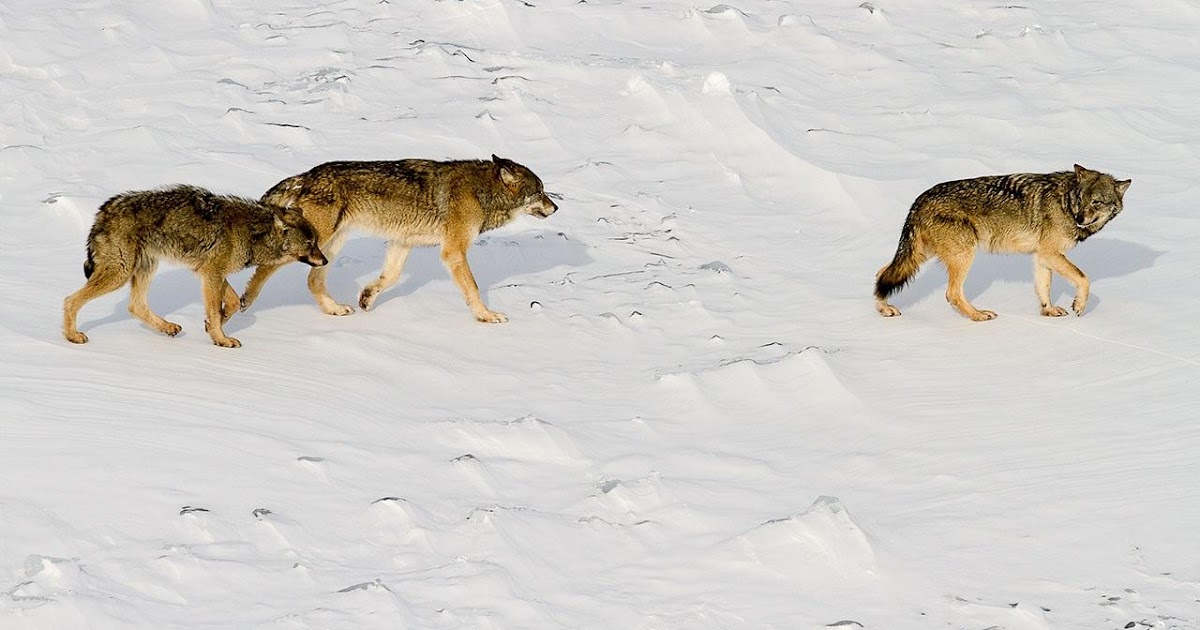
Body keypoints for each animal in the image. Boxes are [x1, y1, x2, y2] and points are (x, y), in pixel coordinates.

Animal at [62, 185, 328, 348]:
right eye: (310, 243)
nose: (325, 261)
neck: (253, 234)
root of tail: (103, 211)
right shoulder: (212, 274)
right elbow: (217, 309)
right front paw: (222, 339)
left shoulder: (211, 273)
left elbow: (231, 303)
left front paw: (213, 326)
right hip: (120, 273)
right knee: (70, 299)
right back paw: (72, 336)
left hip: (146, 269)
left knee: (135, 306)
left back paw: (168, 327)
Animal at [238, 155, 558, 323]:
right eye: (540, 191)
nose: (556, 208)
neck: (481, 192)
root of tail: (307, 175)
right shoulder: (453, 252)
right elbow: (474, 289)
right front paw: (486, 316)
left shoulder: (402, 243)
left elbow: (388, 278)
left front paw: (367, 298)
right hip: (315, 242)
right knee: (268, 266)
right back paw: (246, 299)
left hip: (329, 246)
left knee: (312, 280)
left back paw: (334, 309)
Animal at [874, 164, 1131, 320]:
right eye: (1080, 199)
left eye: (1097, 202)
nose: (1079, 219)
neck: (1065, 202)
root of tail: (918, 201)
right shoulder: (1050, 253)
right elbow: (1084, 278)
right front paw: (1079, 305)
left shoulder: (1042, 256)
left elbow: (1044, 287)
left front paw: (1048, 310)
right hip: (963, 256)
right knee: (952, 293)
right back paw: (978, 315)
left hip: (919, 256)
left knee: (880, 274)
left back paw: (885, 309)